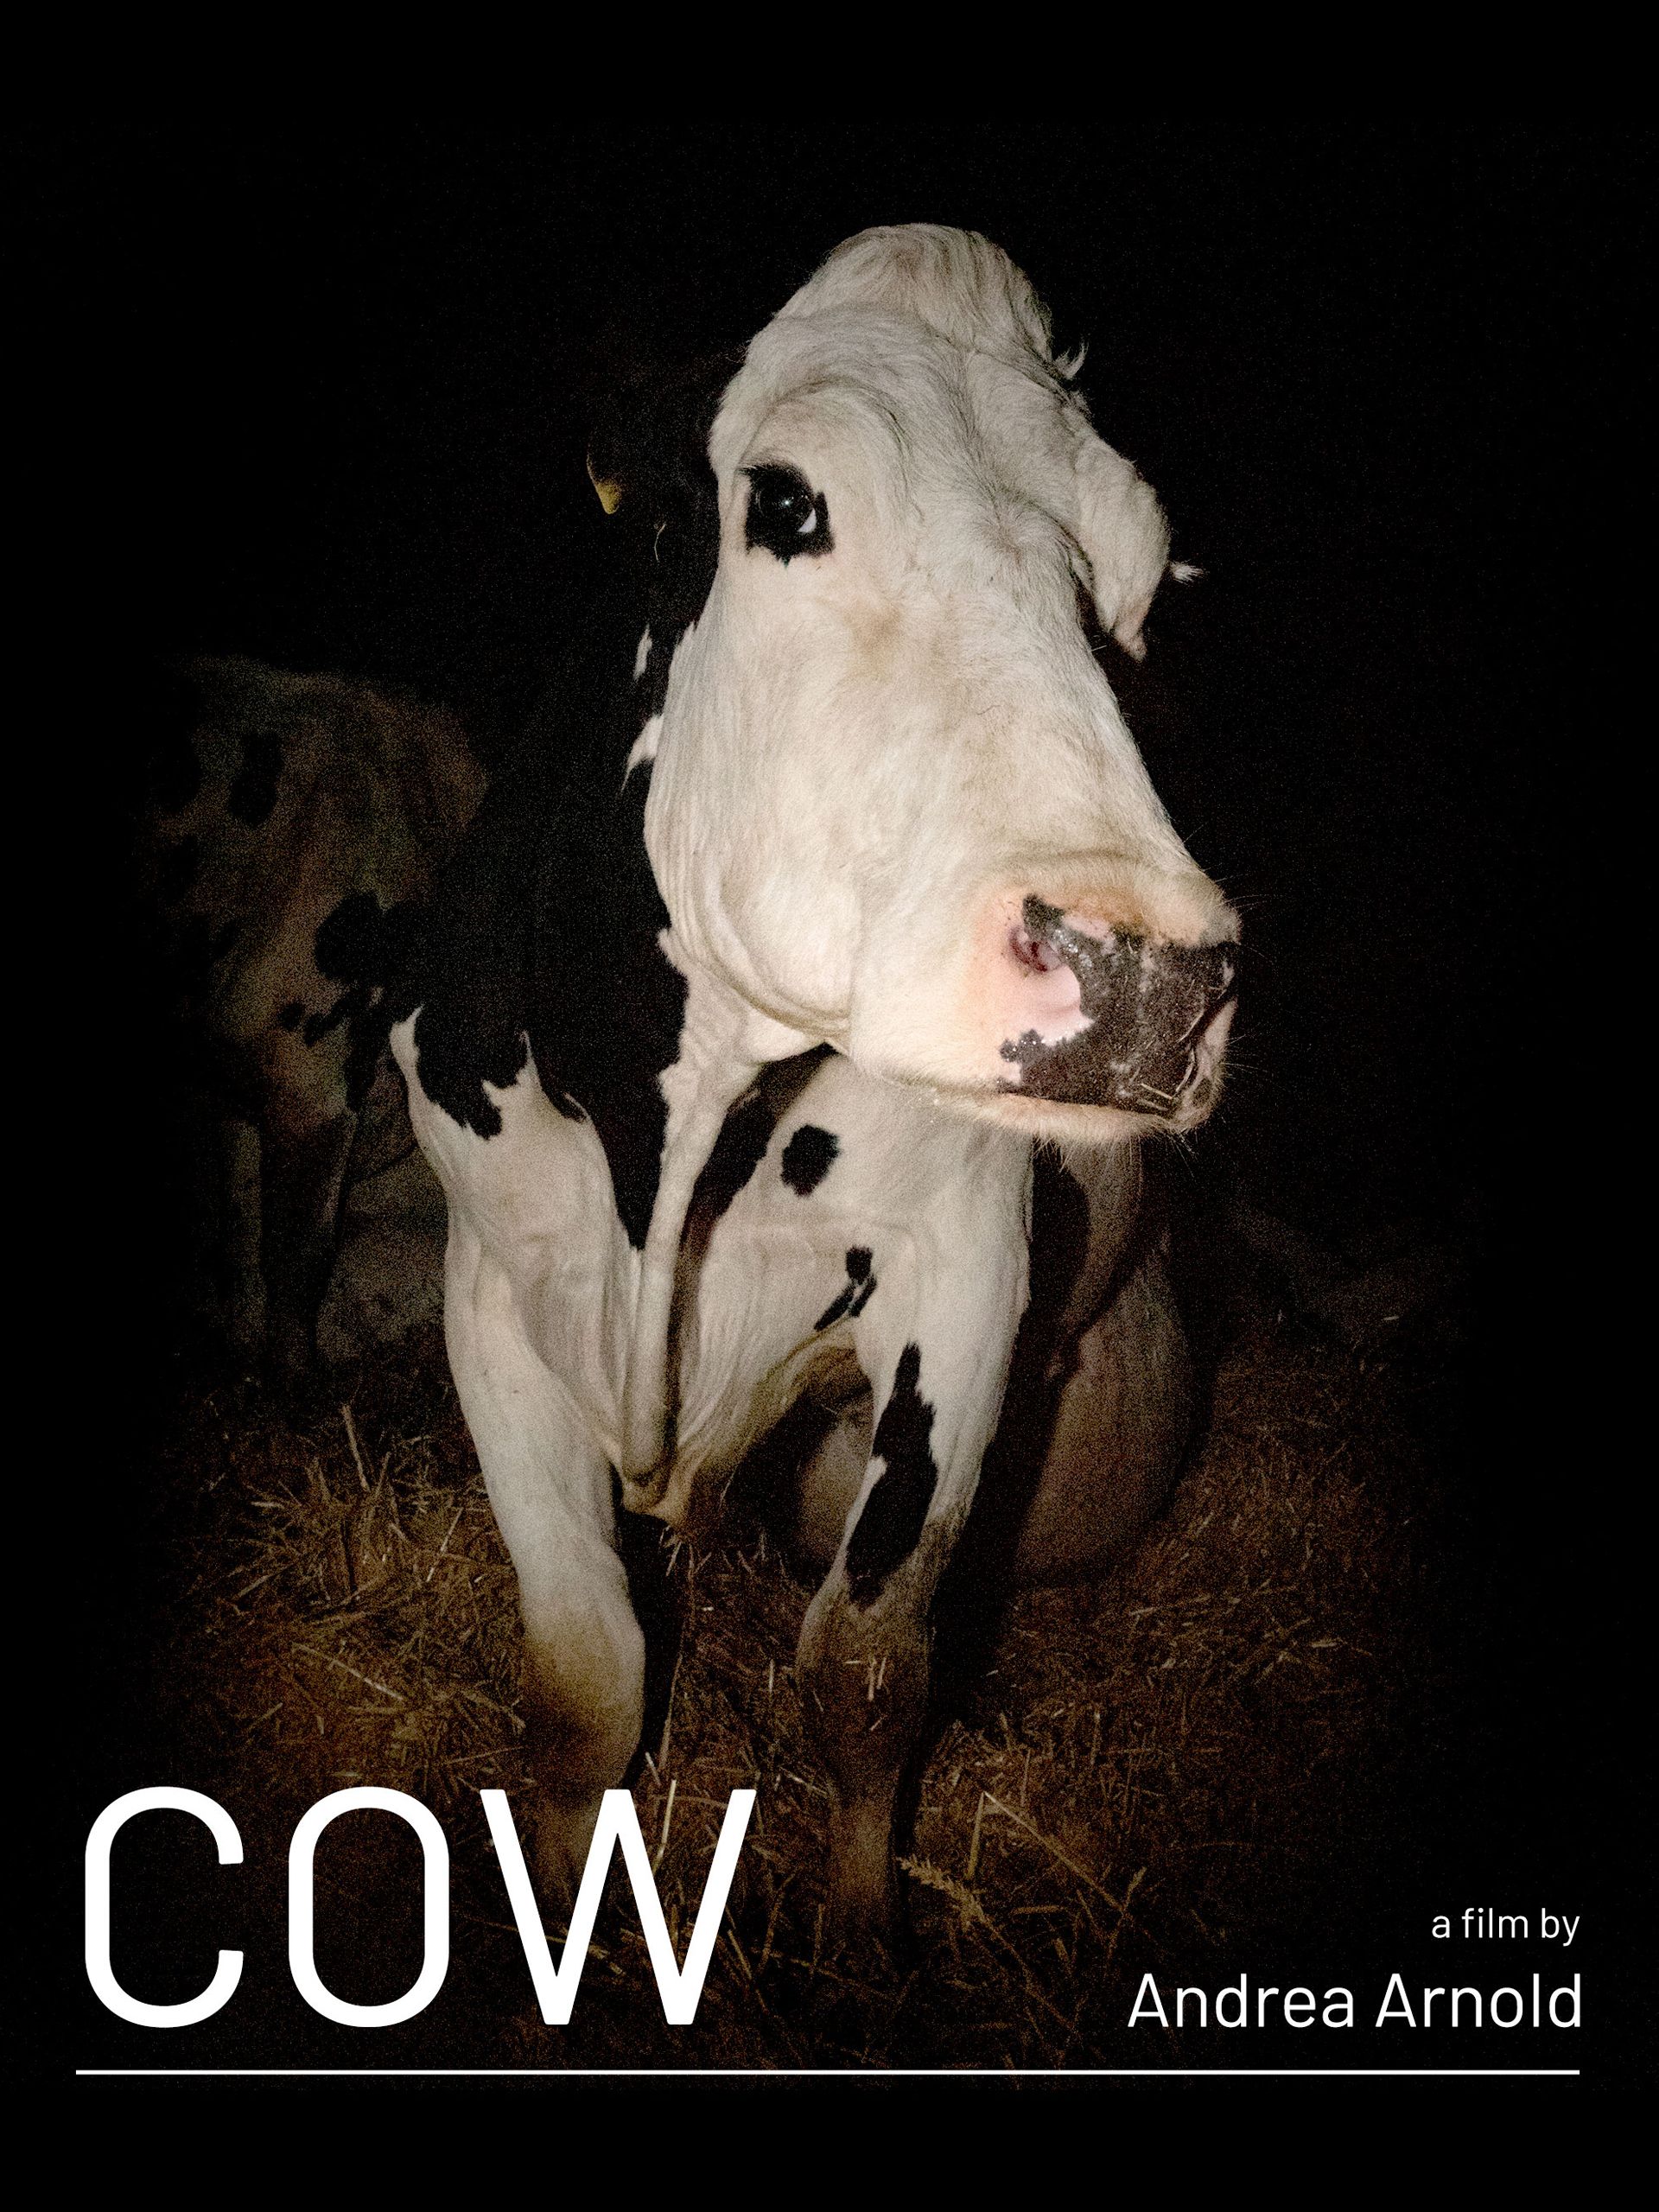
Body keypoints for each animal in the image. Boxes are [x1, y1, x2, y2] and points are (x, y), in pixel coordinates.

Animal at [389, 226, 1239, 1941]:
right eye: (786, 502)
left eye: (1138, 583)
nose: (1150, 978)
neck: (668, 1145)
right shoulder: (489, 1280)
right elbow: (585, 1673)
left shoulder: (962, 1274)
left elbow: (864, 1665)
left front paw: (860, 1943)